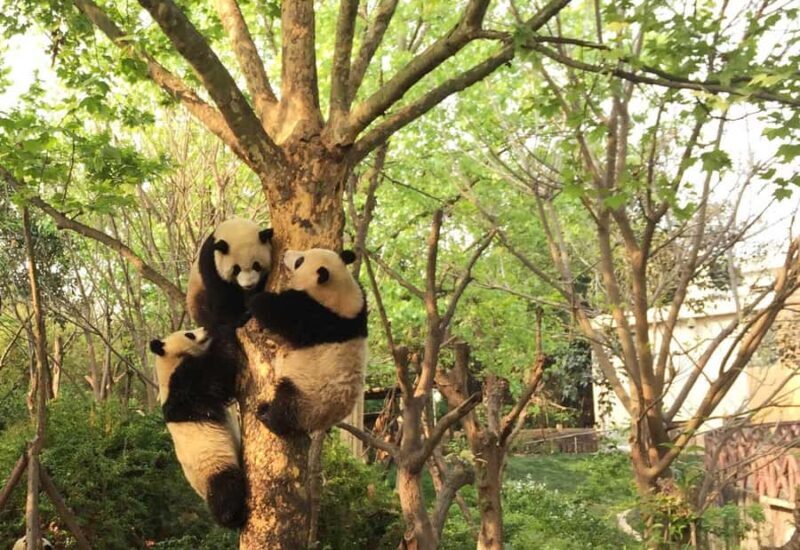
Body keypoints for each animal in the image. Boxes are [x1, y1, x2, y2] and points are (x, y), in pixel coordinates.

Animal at [148, 327, 246, 529]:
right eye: (189, 334)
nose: (205, 330)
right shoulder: (183, 386)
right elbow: (216, 374)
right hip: (212, 468)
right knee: (225, 489)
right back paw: (232, 517)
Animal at [248, 248, 368, 436]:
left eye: (300, 261)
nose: (286, 254)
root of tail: (321, 423)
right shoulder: (359, 310)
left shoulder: (316, 318)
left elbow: (281, 313)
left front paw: (257, 299)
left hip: (308, 397)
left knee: (286, 401)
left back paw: (268, 416)